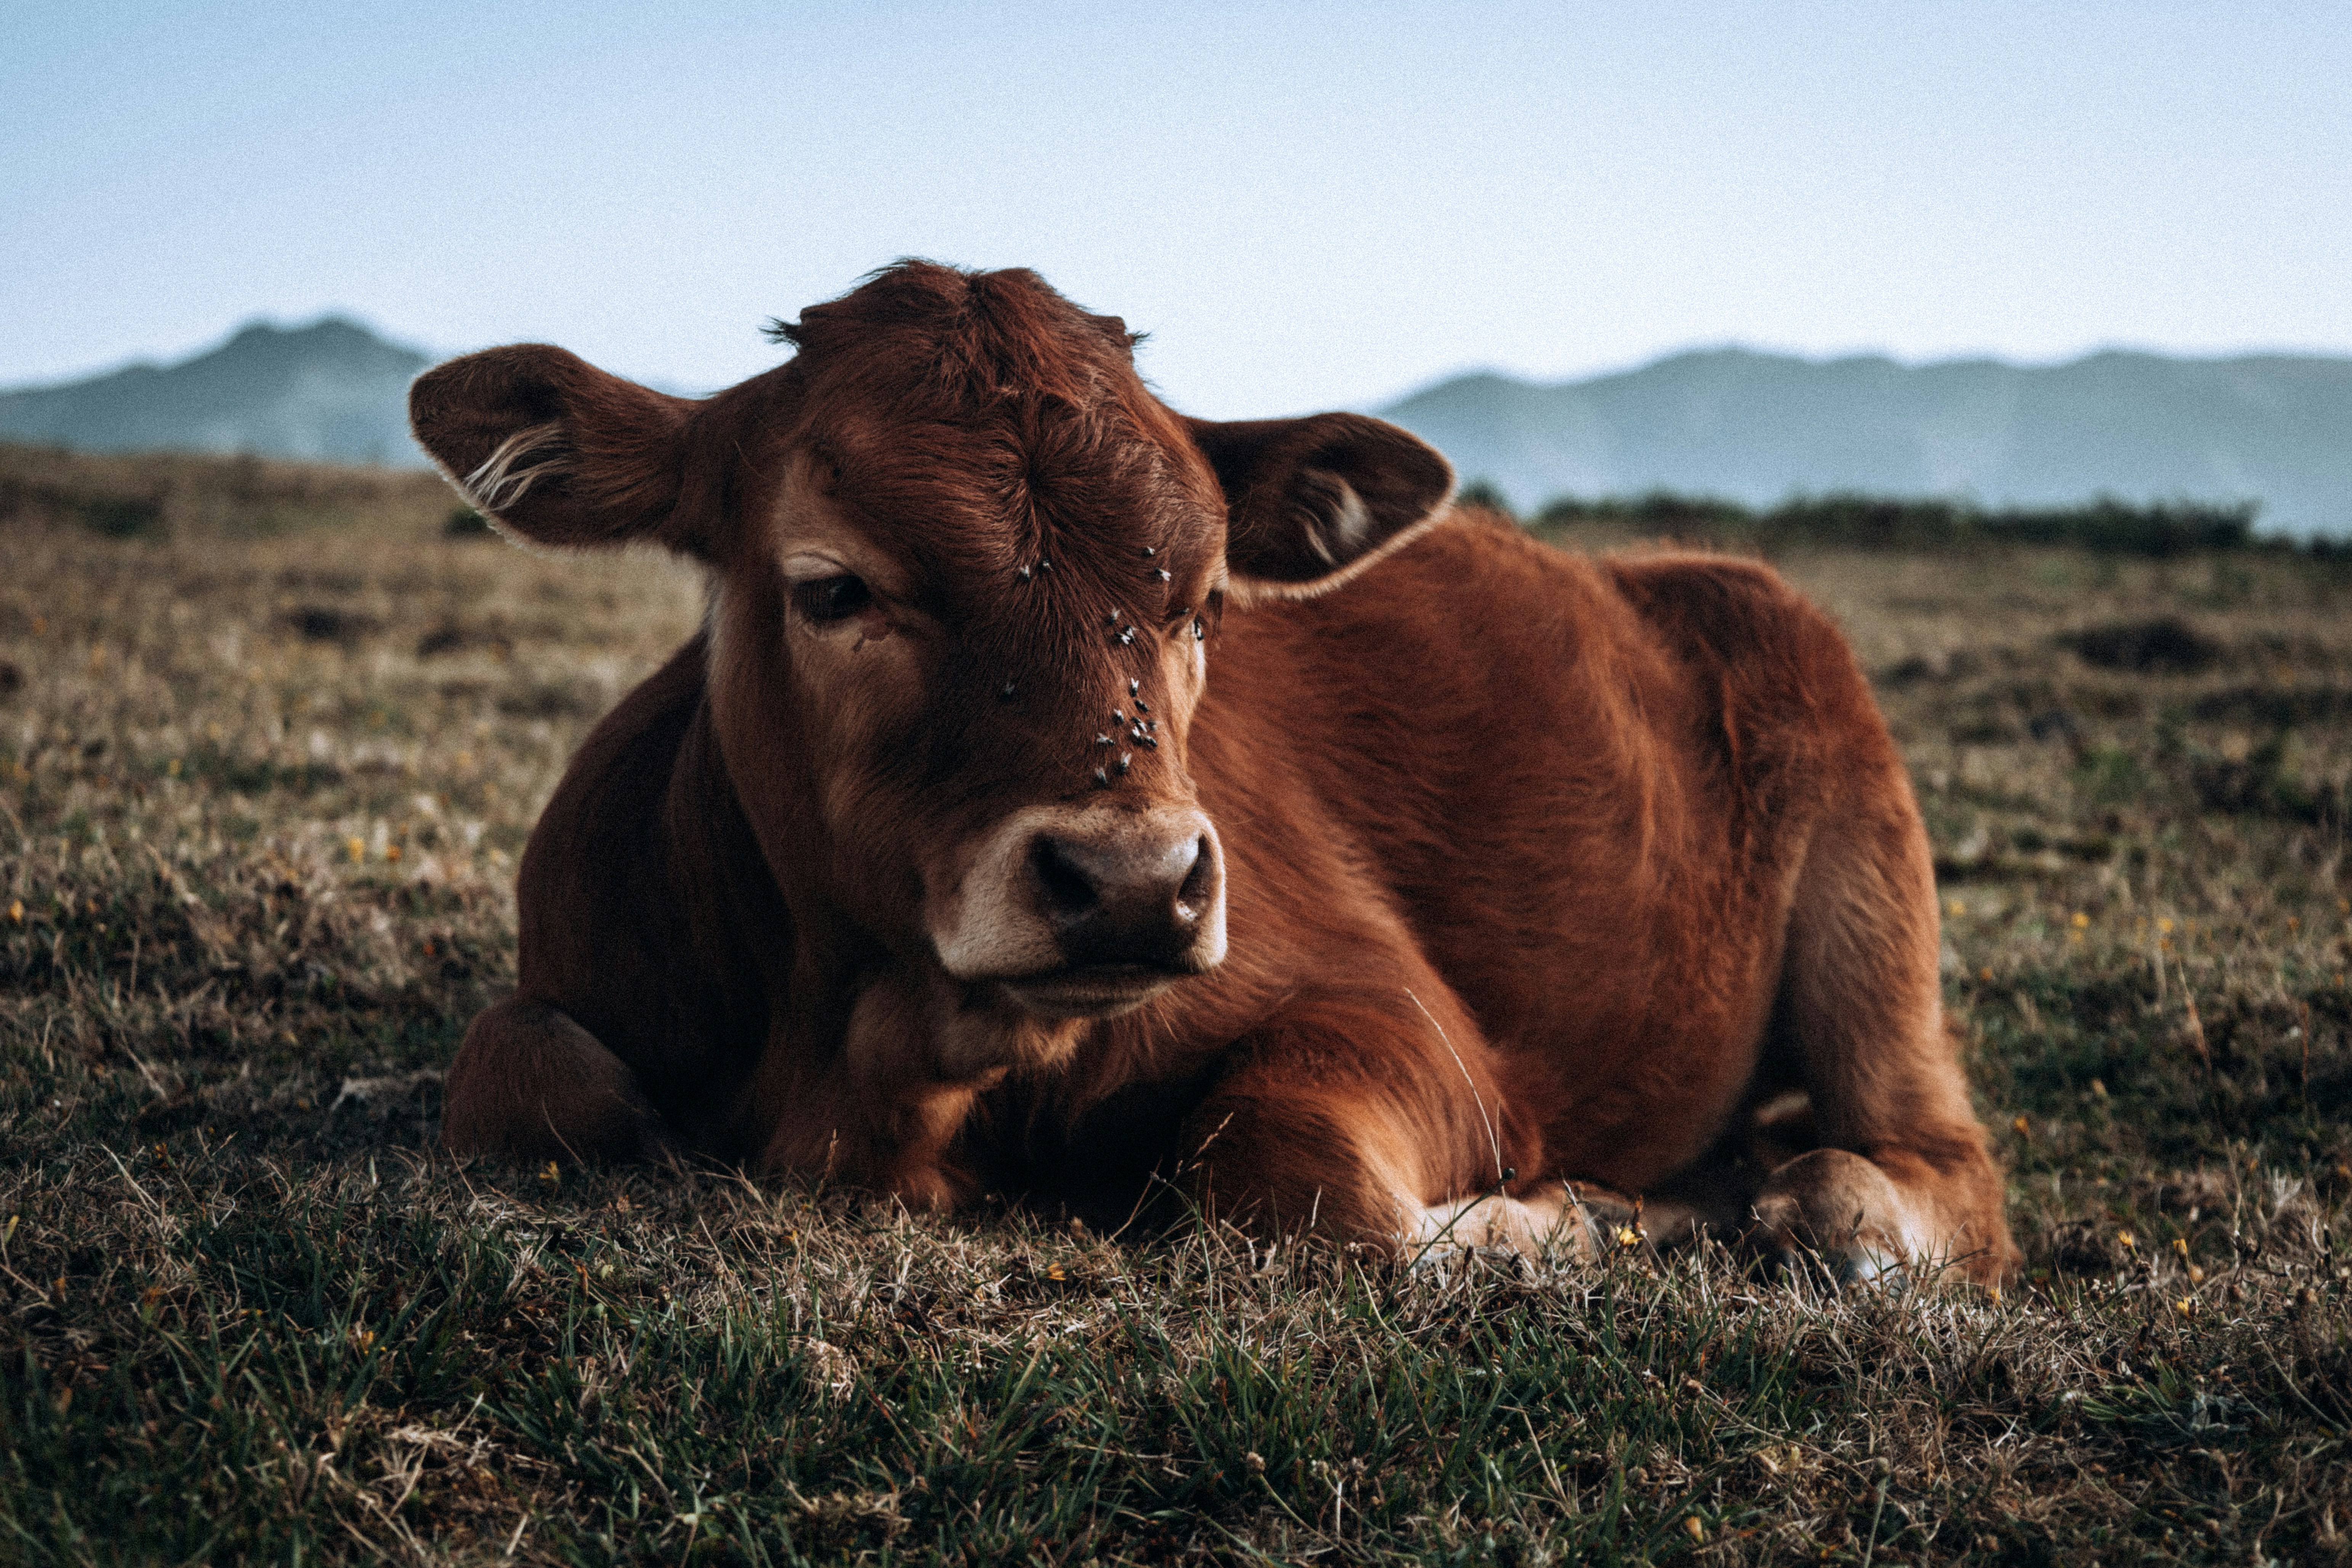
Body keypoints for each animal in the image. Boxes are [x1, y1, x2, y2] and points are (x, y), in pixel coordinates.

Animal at [411, 261, 2017, 1286]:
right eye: (831, 587)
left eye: (1199, 602)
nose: (1132, 885)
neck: (882, 1077)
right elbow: (522, 1073)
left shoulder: (1405, 1017)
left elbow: (1289, 1166)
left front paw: (1554, 1225)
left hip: (1871, 900)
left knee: (1939, 1170)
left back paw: (1810, 1202)